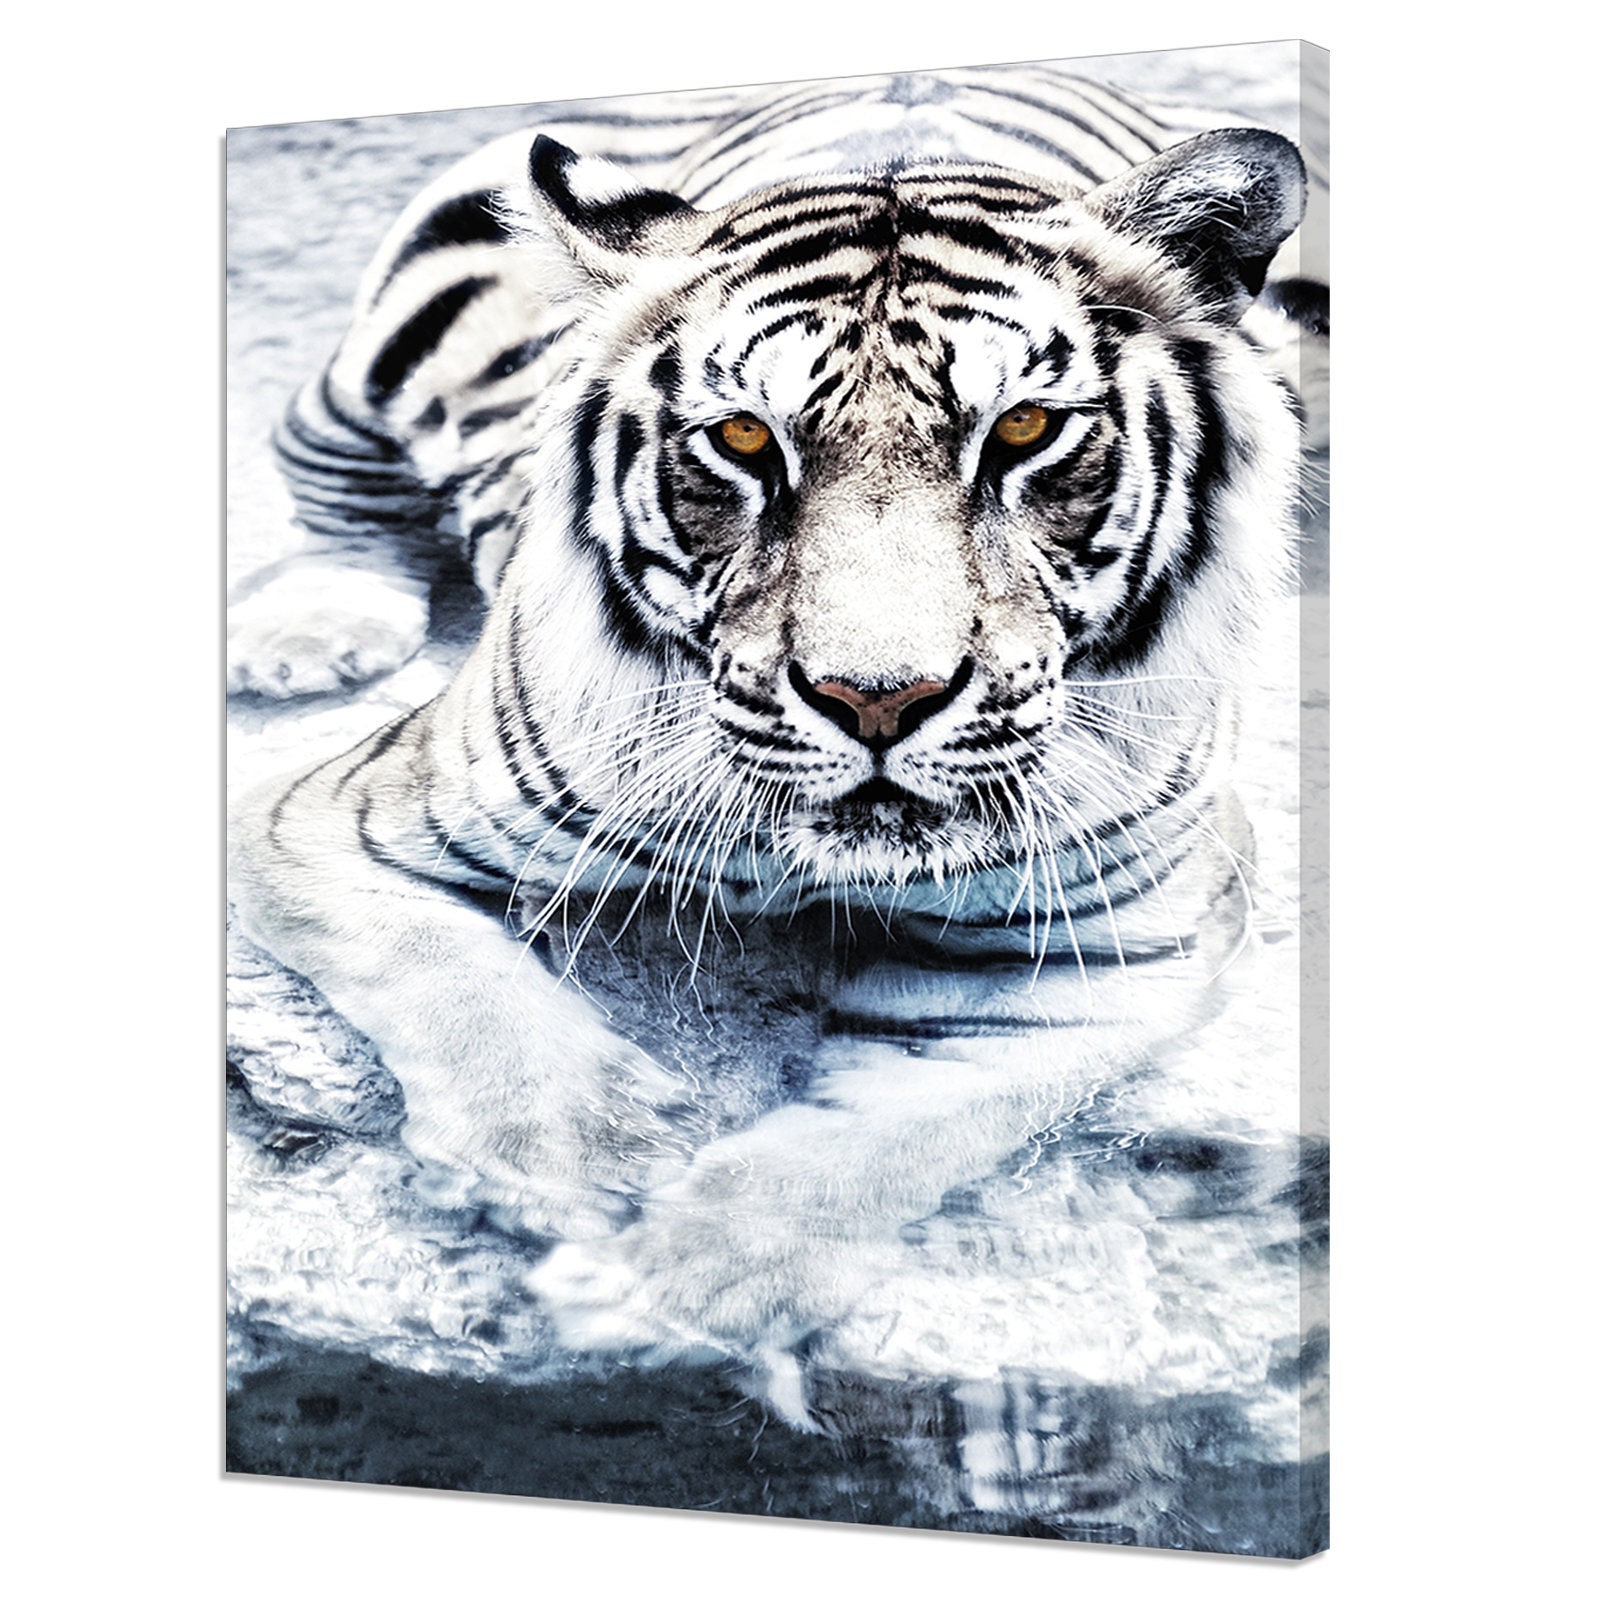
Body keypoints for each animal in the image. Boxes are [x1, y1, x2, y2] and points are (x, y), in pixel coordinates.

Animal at [227, 62, 1327, 1537]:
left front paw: (662, 1288)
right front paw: (577, 1163)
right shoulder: (336, 815)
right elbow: (449, 978)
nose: (877, 698)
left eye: (1025, 431)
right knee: (329, 479)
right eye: (746, 439)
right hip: (394, 337)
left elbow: (867, 1150)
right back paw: (305, 630)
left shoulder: (1105, 961)